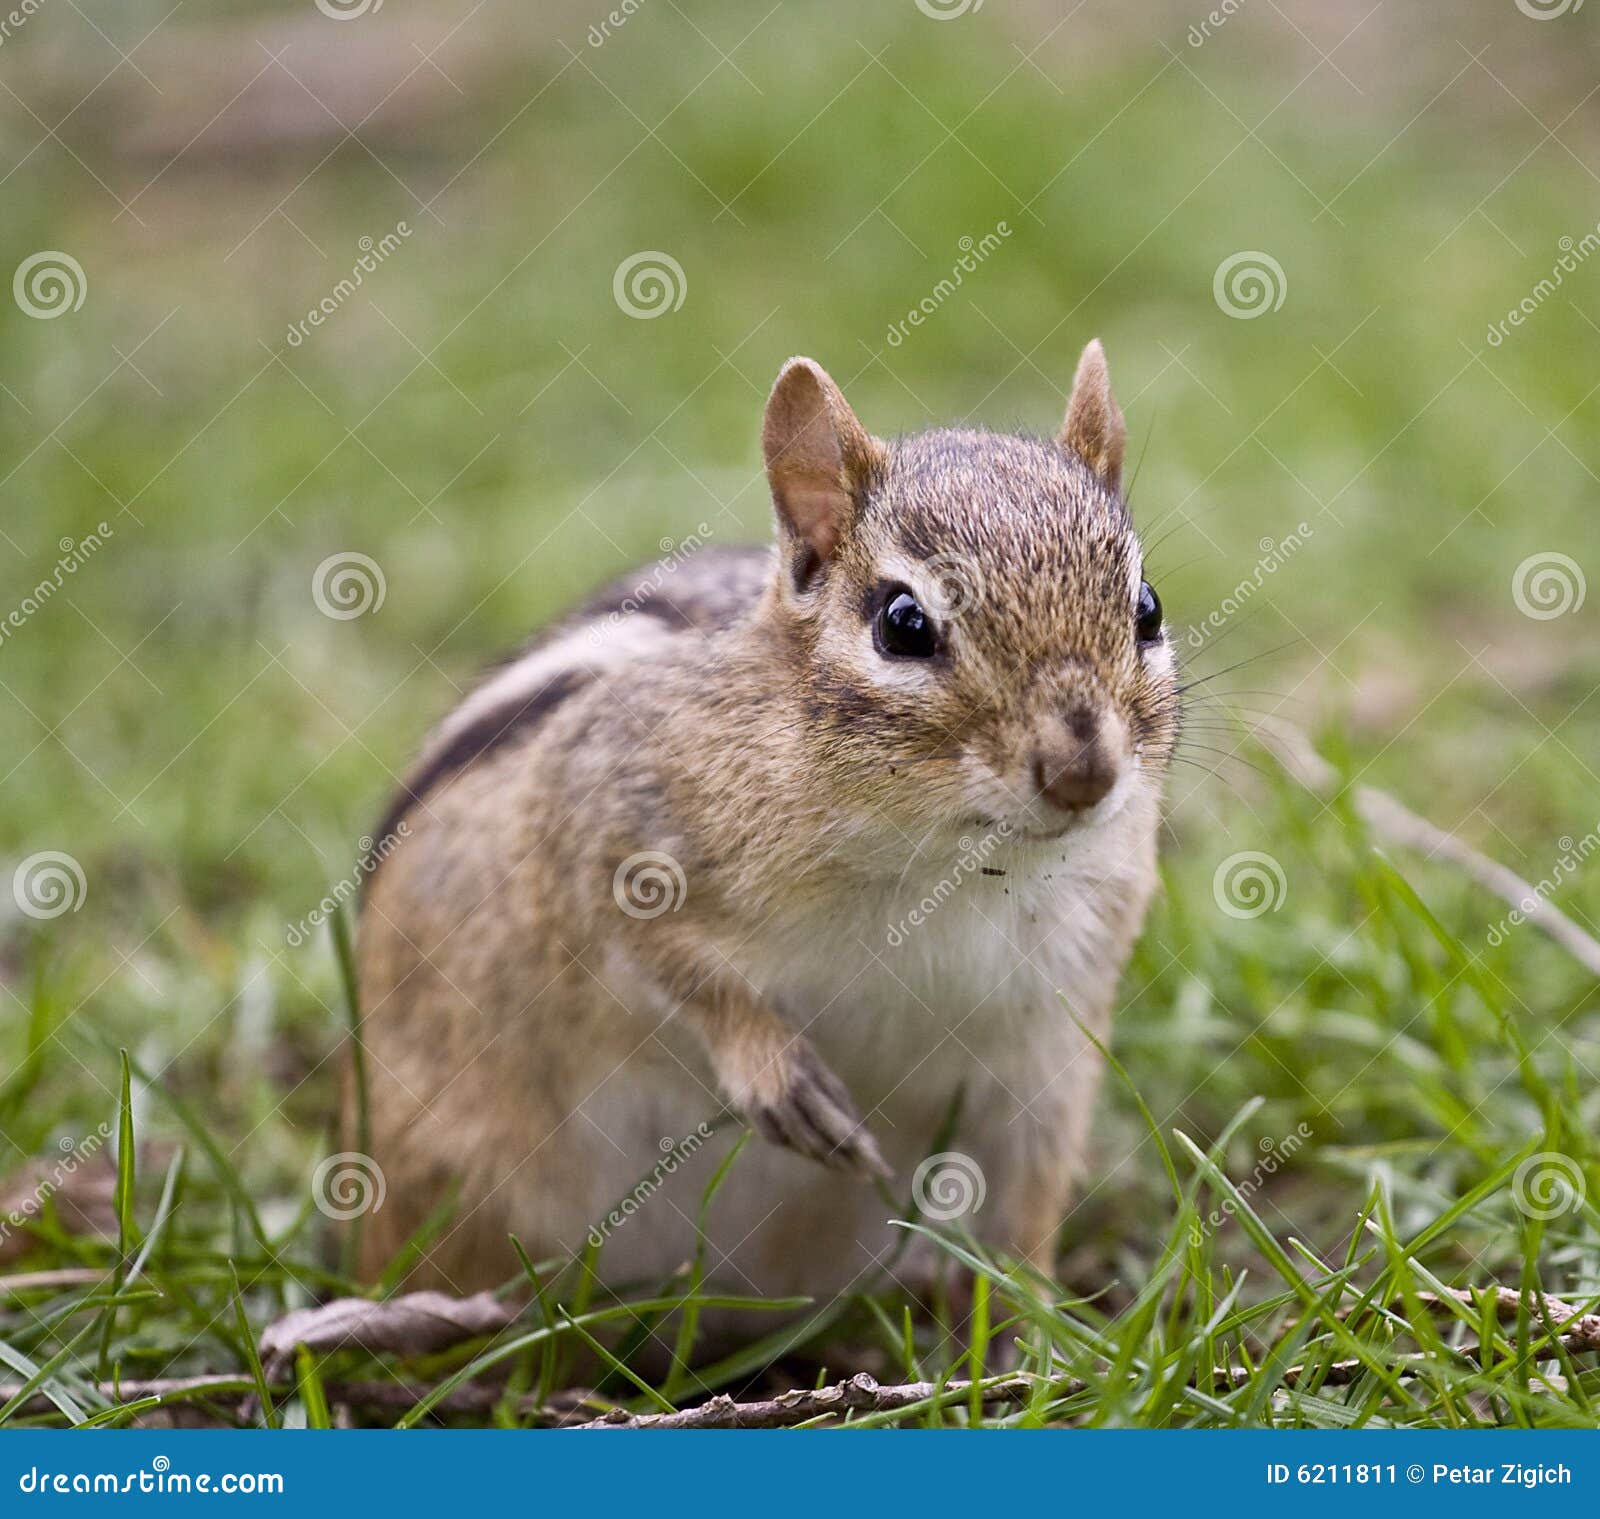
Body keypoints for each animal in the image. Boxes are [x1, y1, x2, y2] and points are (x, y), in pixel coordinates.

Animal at [354, 341, 1178, 1307]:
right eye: (903, 623)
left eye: (1148, 607)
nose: (1084, 770)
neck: (947, 859)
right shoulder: (602, 833)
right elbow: (656, 953)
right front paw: (778, 1076)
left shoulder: (1044, 1057)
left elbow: (1021, 1234)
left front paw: (1035, 1330)